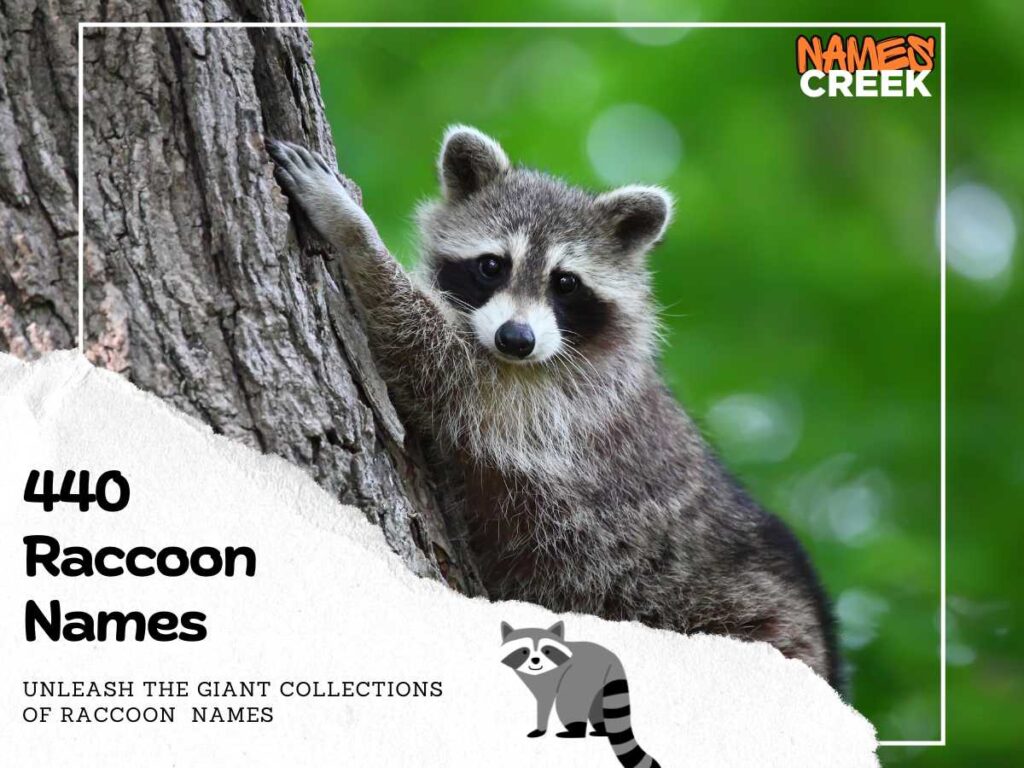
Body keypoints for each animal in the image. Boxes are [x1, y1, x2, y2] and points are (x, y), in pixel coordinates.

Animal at [267, 126, 841, 688]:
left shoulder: (554, 405)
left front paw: (353, 230)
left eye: (565, 282)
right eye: (492, 266)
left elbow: (429, 352)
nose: (515, 339)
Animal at [500, 621, 660, 768]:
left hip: (581, 676)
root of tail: (614, 661)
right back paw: (602, 731)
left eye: (547, 651)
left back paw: (575, 732)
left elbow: (545, 701)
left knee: (567, 704)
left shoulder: (550, 678)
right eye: (524, 651)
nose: (535, 660)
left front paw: (541, 728)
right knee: (597, 709)